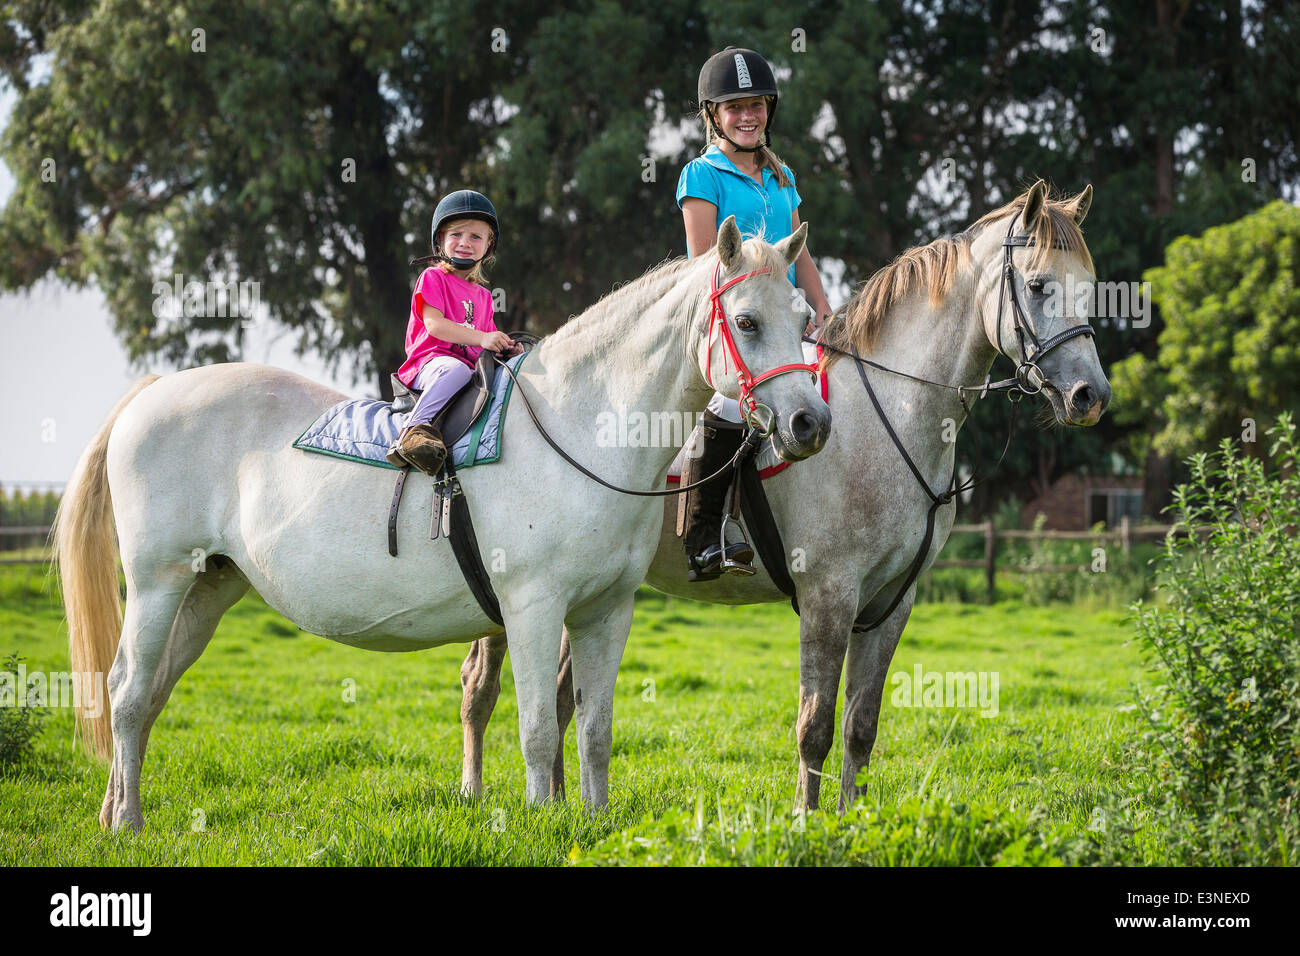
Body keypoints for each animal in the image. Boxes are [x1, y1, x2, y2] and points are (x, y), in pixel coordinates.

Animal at [53, 216, 832, 831]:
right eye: (747, 322)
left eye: (804, 322)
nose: (810, 424)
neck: (577, 426)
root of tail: (154, 393)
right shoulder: (532, 608)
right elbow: (539, 731)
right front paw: (542, 822)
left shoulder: (606, 613)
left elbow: (595, 731)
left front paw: (593, 817)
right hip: (158, 582)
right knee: (129, 696)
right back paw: (127, 823)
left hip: (209, 588)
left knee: (142, 691)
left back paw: (115, 810)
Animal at [458, 181, 1111, 810]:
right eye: (1038, 285)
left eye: (1090, 288)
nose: (1090, 396)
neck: (889, 416)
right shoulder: (829, 593)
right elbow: (815, 724)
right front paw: (806, 818)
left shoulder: (893, 602)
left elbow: (861, 726)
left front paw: (852, 818)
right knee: (481, 687)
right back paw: (478, 792)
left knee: (561, 697)